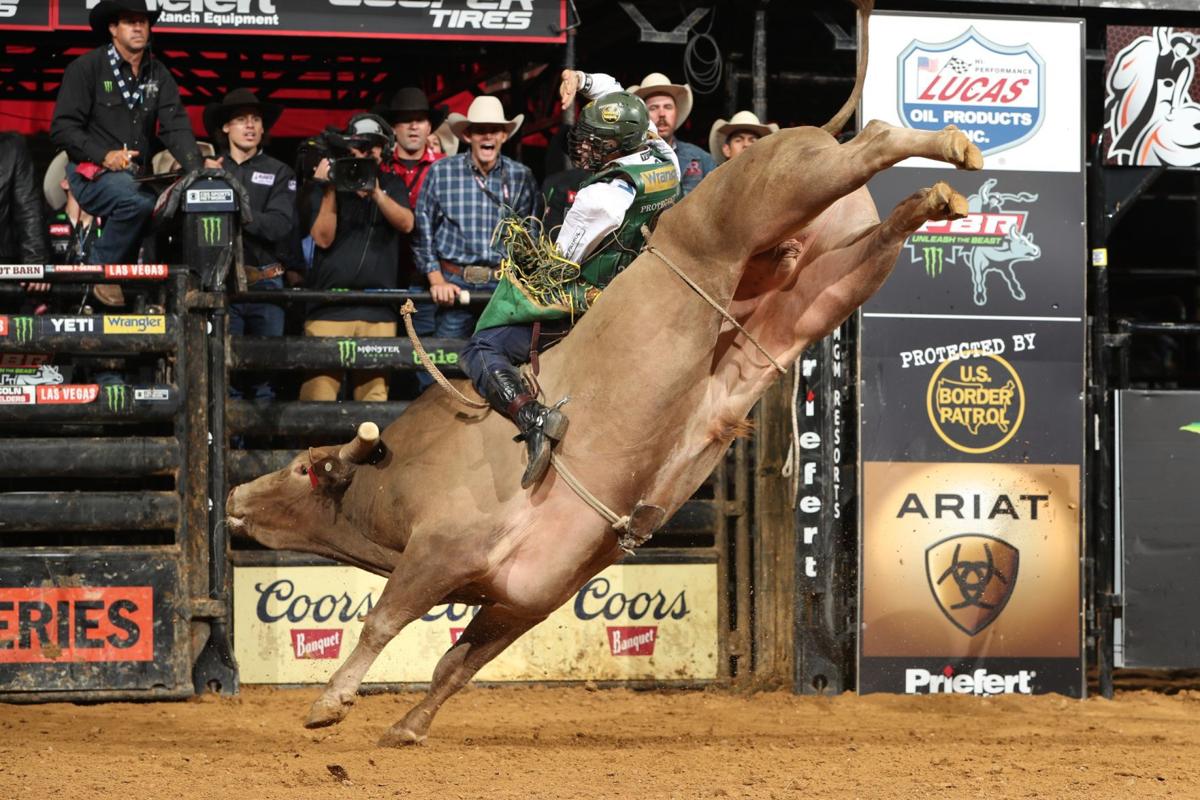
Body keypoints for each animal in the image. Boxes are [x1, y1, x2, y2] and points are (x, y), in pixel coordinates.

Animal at [226, 0, 983, 746]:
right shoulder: (523, 599)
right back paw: (936, 196)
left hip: (759, 199)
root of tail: (786, 132)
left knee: (868, 141)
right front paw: (407, 728)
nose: (235, 495)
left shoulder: (437, 554)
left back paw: (948, 148)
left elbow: (384, 622)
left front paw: (330, 702)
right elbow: (454, 664)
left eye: (302, 466)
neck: (398, 477)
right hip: (814, 294)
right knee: (874, 242)